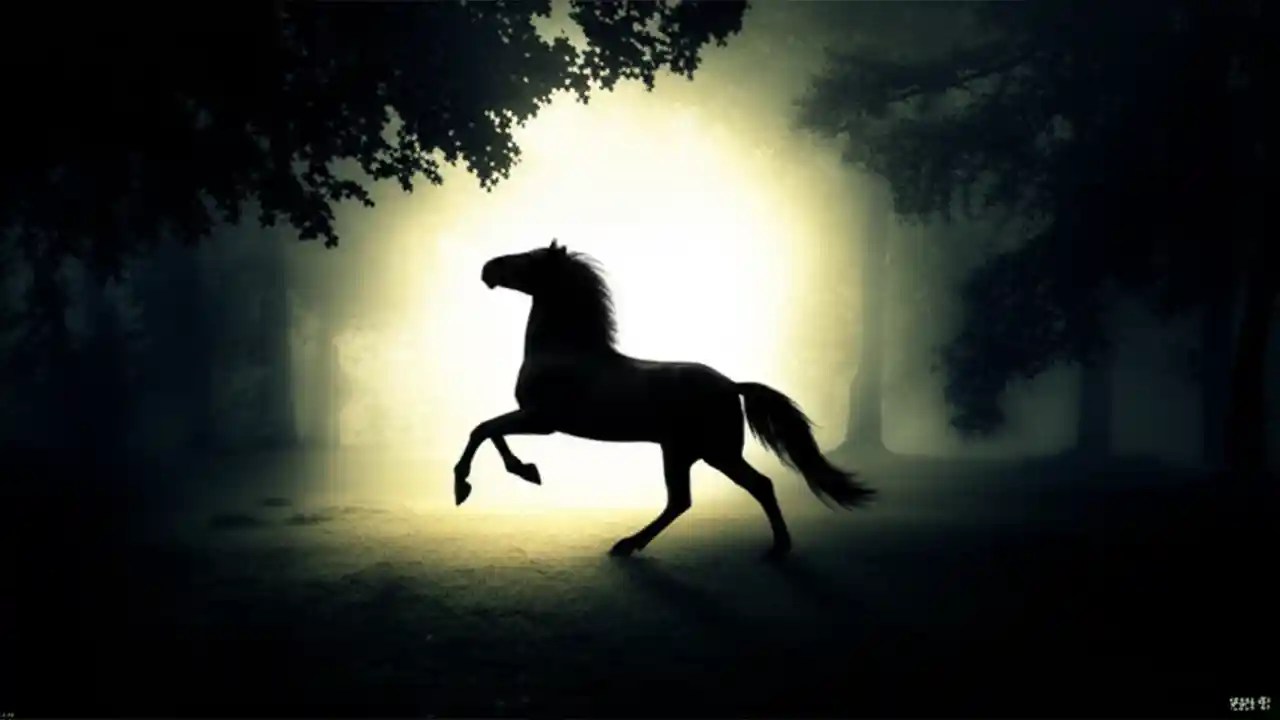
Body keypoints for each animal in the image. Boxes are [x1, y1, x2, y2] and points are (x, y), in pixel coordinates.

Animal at [453, 240, 875, 558]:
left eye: (530, 258)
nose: (488, 268)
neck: (564, 351)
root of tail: (732, 385)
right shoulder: (535, 419)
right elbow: (491, 432)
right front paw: (526, 471)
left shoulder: (542, 420)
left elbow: (482, 430)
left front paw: (466, 486)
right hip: (694, 453)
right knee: (709, 495)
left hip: (705, 452)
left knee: (723, 492)